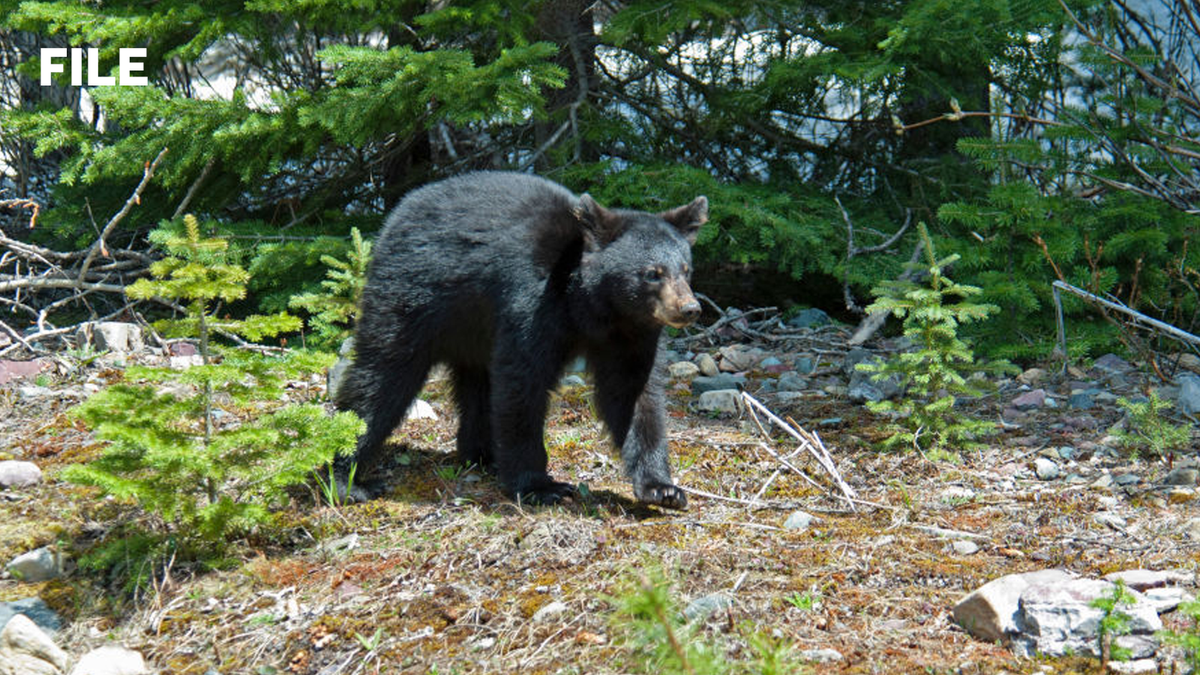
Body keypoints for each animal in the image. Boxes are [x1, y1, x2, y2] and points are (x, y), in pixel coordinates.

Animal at [334, 171, 707, 508]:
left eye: (686, 269)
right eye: (652, 273)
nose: (690, 308)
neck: (591, 305)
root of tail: (398, 211)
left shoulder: (631, 333)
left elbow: (632, 394)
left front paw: (662, 488)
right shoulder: (532, 300)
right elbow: (523, 383)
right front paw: (540, 486)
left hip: (471, 330)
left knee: (476, 386)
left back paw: (480, 454)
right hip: (411, 295)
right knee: (382, 375)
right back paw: (347, 477)